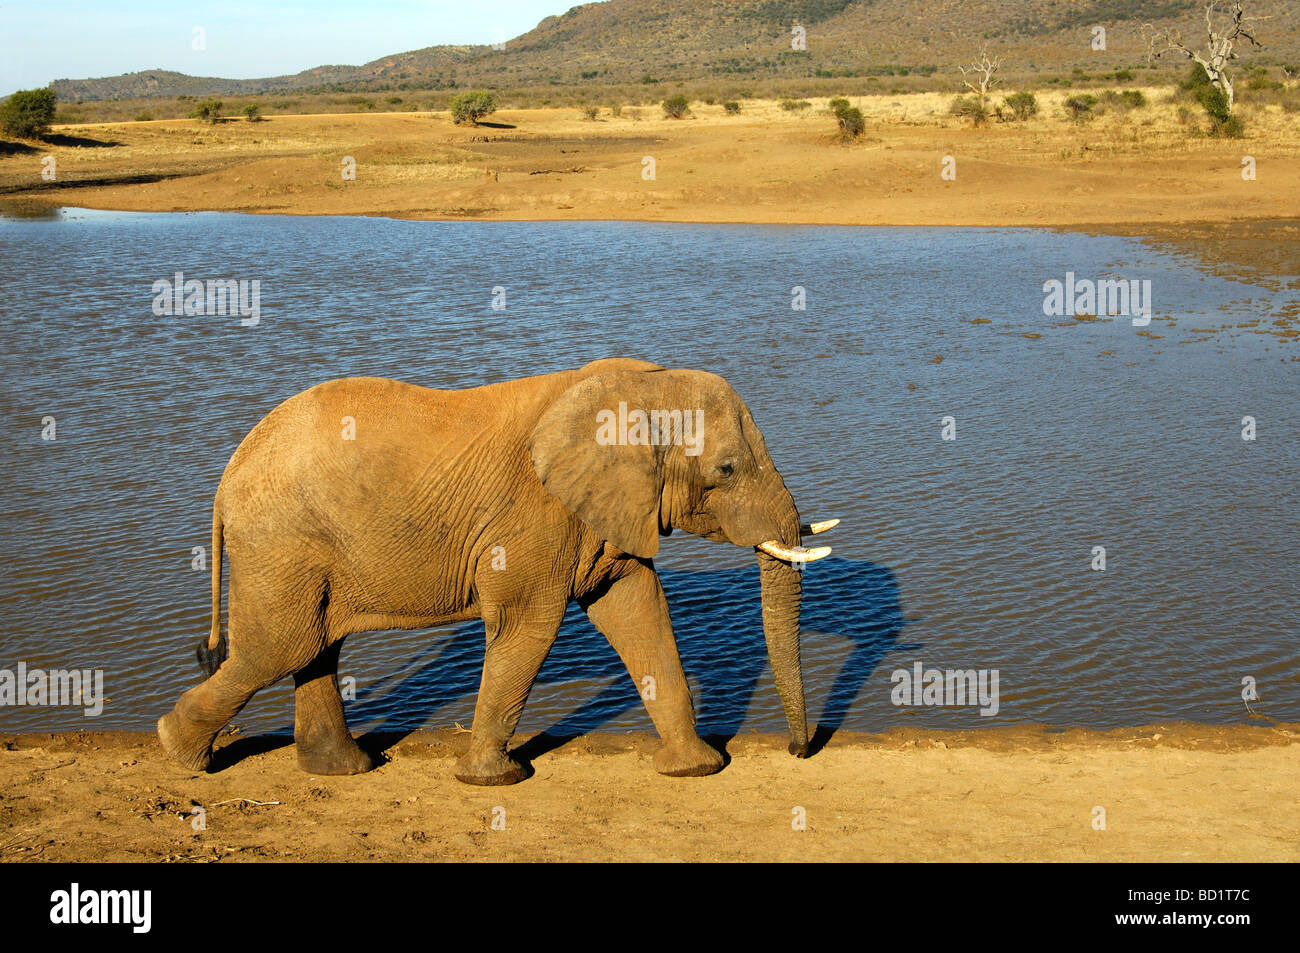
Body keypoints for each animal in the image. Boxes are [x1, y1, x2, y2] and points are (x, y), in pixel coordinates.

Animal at [157, 357, 838, 784]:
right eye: (726, 469)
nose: (799, 750)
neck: (638, 387)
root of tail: (228, 471)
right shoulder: (534, 518)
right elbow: (528, 626)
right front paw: (495, 780)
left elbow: (638, 608)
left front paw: (697, 769)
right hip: (280, 539)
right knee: (281, 647)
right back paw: (179, 753)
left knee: (315, 645)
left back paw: (343, 770)